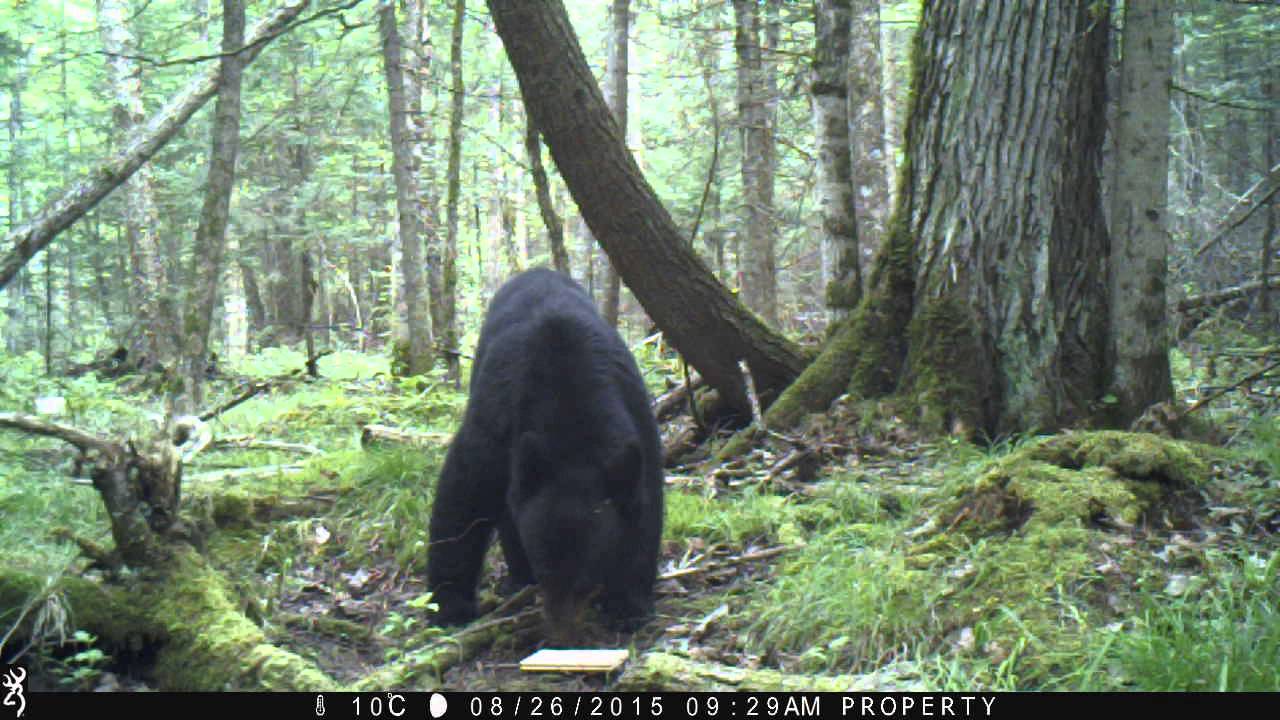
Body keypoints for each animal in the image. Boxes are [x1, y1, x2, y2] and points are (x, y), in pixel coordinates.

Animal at [427, 268, 664, 641]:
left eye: (585, 577)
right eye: (545, 569)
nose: (560, 636)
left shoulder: (635, 420)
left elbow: (643, 503)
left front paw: (628, 602)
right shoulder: (496, 420)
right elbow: (463, 493)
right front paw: (449, 606)